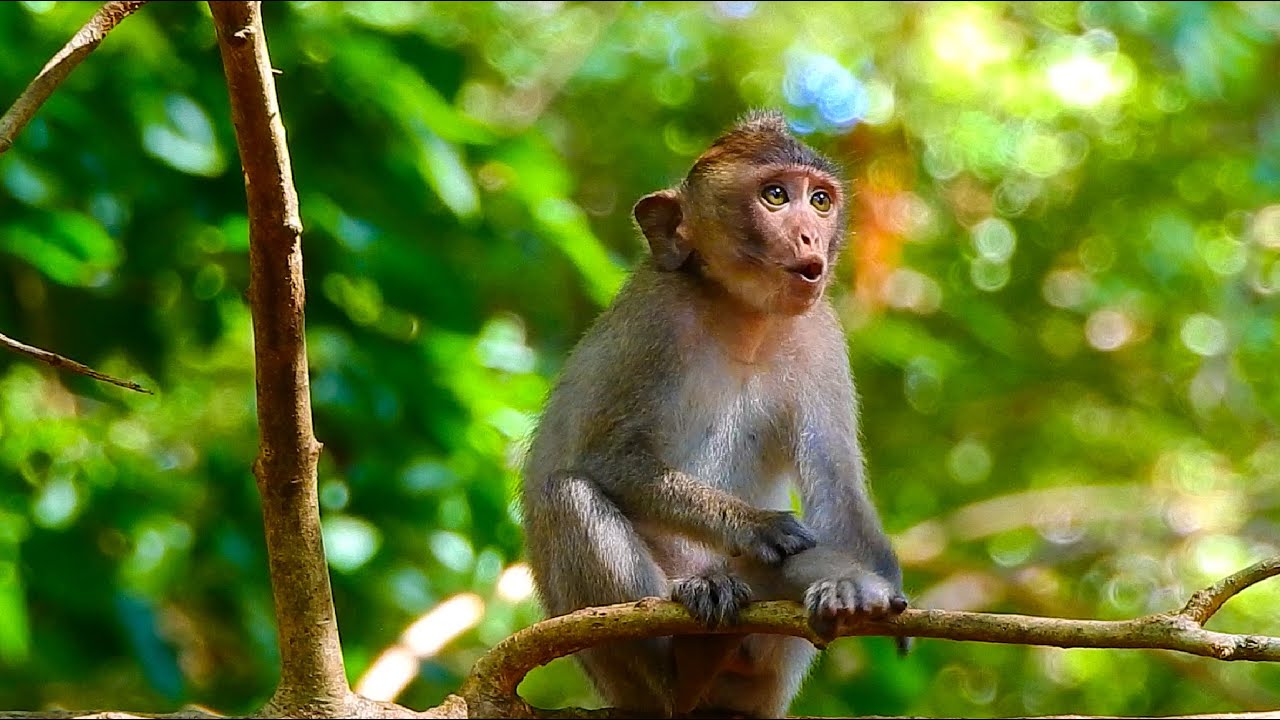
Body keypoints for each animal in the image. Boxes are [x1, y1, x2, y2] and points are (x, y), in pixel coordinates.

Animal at [520, 109, 907, 718]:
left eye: (820, 201)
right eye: (776, 195)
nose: (809, 235)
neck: (743, 315)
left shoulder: (821, 337)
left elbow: (838, 493)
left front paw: (861, 586)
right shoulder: (657, 323)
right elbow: (608, 459)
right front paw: (758, 526)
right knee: (567, 495)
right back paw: (685, 666)